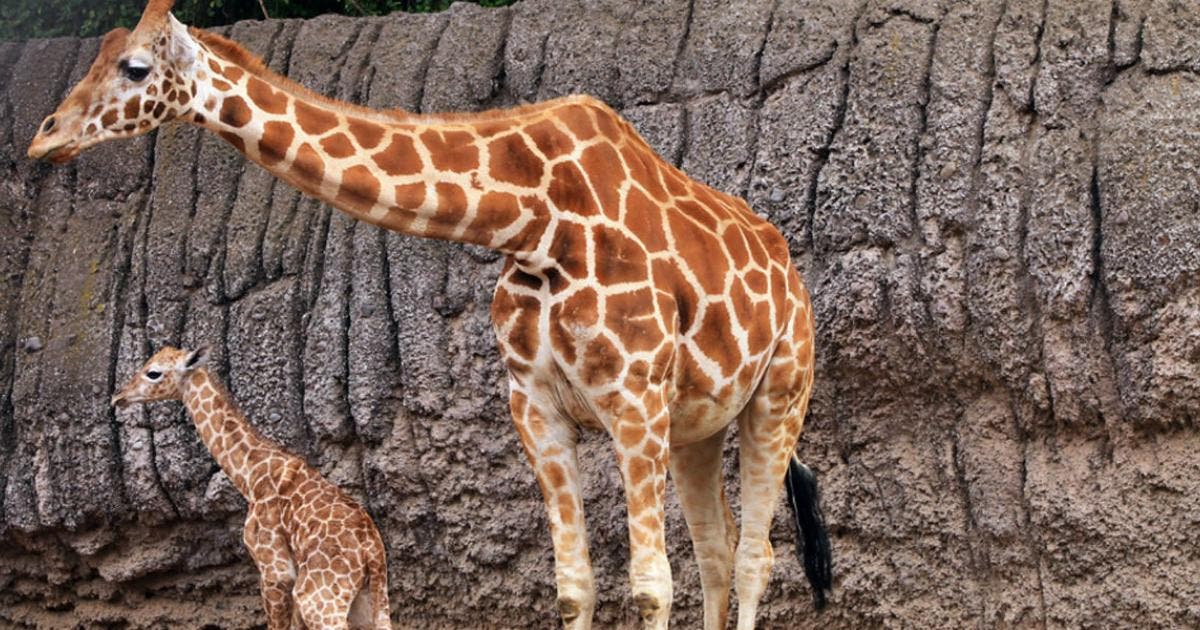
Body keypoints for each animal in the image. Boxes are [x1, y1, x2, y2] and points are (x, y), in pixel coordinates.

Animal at [111, 345, 393, 630]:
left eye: (153, 373)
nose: (117, 397)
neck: (249, 474)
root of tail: (371, 552)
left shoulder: (275, 569)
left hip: (319, 598)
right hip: (372, 598)